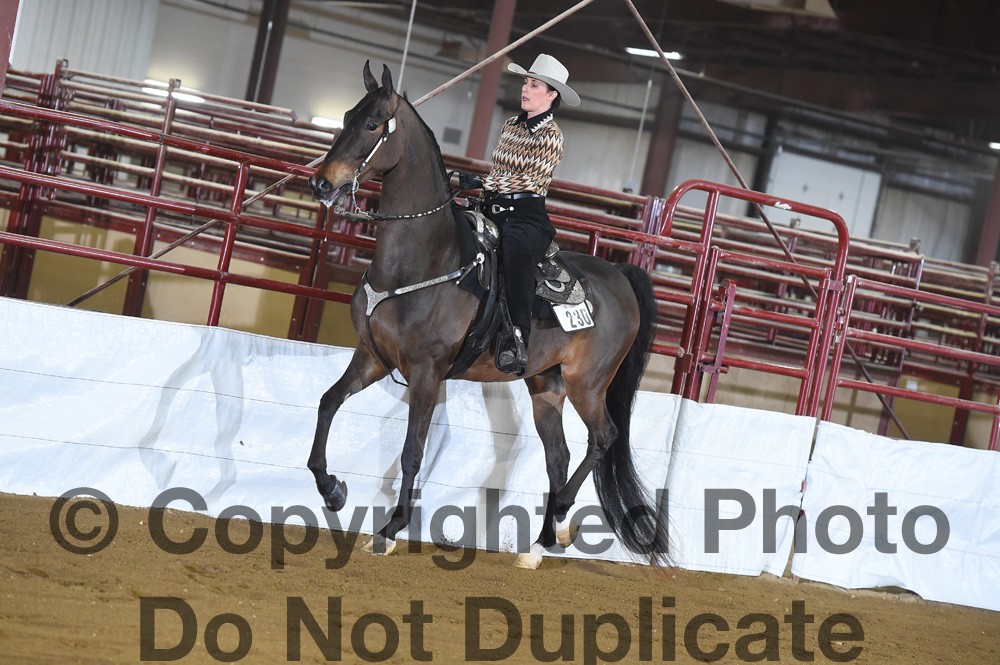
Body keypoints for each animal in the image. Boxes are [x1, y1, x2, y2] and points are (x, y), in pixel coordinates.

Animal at [306, 61, 668, 568]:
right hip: (545, 386)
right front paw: (332, 490)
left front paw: (390, 530)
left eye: (373, 124)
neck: (425, 258)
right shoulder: (372, 357)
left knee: (604, 438)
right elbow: (327, 402)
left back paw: (561, 519)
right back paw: (538, 545)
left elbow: (412, 451)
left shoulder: (426, 372)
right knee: (558, 456)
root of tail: (619, 273)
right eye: (345, 117)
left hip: (589, 383)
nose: (322, 183)